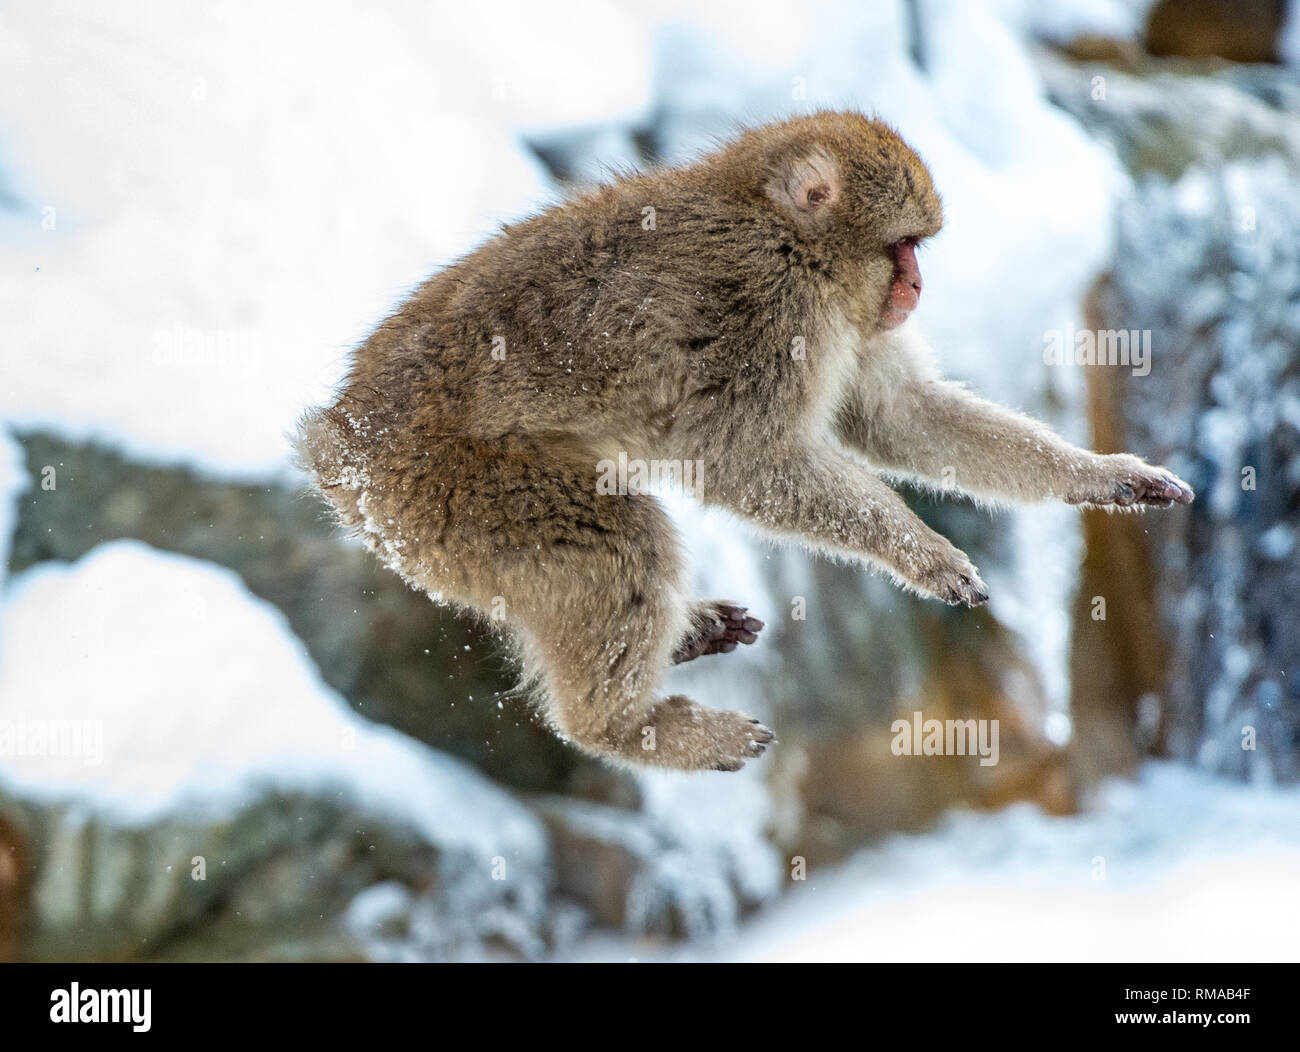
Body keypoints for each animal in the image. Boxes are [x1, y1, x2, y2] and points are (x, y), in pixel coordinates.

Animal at [296, 111, 1194, 774]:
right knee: (618, 539)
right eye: (903, 247)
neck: (785, 233)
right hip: (450, 494)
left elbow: (899, 416)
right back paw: (624, 730)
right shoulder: (766, 308)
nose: (916, 286)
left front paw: (1104, 477)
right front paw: (922, 552)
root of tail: (341, 443)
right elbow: (740, 463)